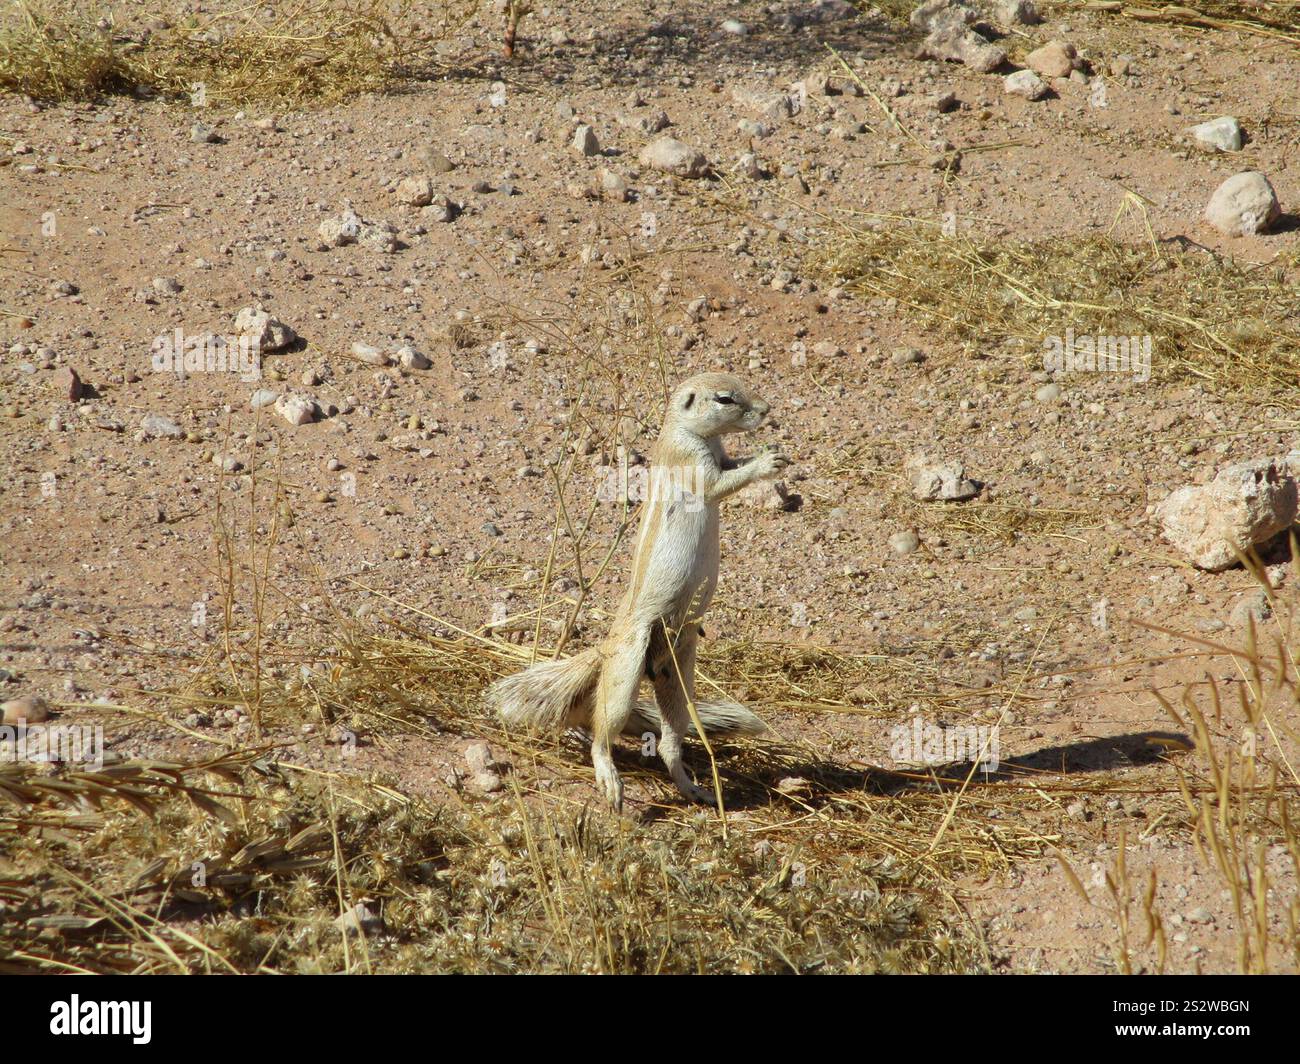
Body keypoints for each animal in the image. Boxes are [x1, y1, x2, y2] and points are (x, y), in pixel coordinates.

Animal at [488, 372, 789, 810]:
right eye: (725, 398)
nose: (766, 410)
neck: (688, 431)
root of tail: (604, 649)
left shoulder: (718, 453)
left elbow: (732, 465)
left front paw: (771, 454)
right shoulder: (691, 461)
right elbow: (719, 483)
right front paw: (767, 462)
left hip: (679, 672)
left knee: (667, 743)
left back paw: (695, 791)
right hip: (628, 668)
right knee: (602, 733)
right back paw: (611, 782)